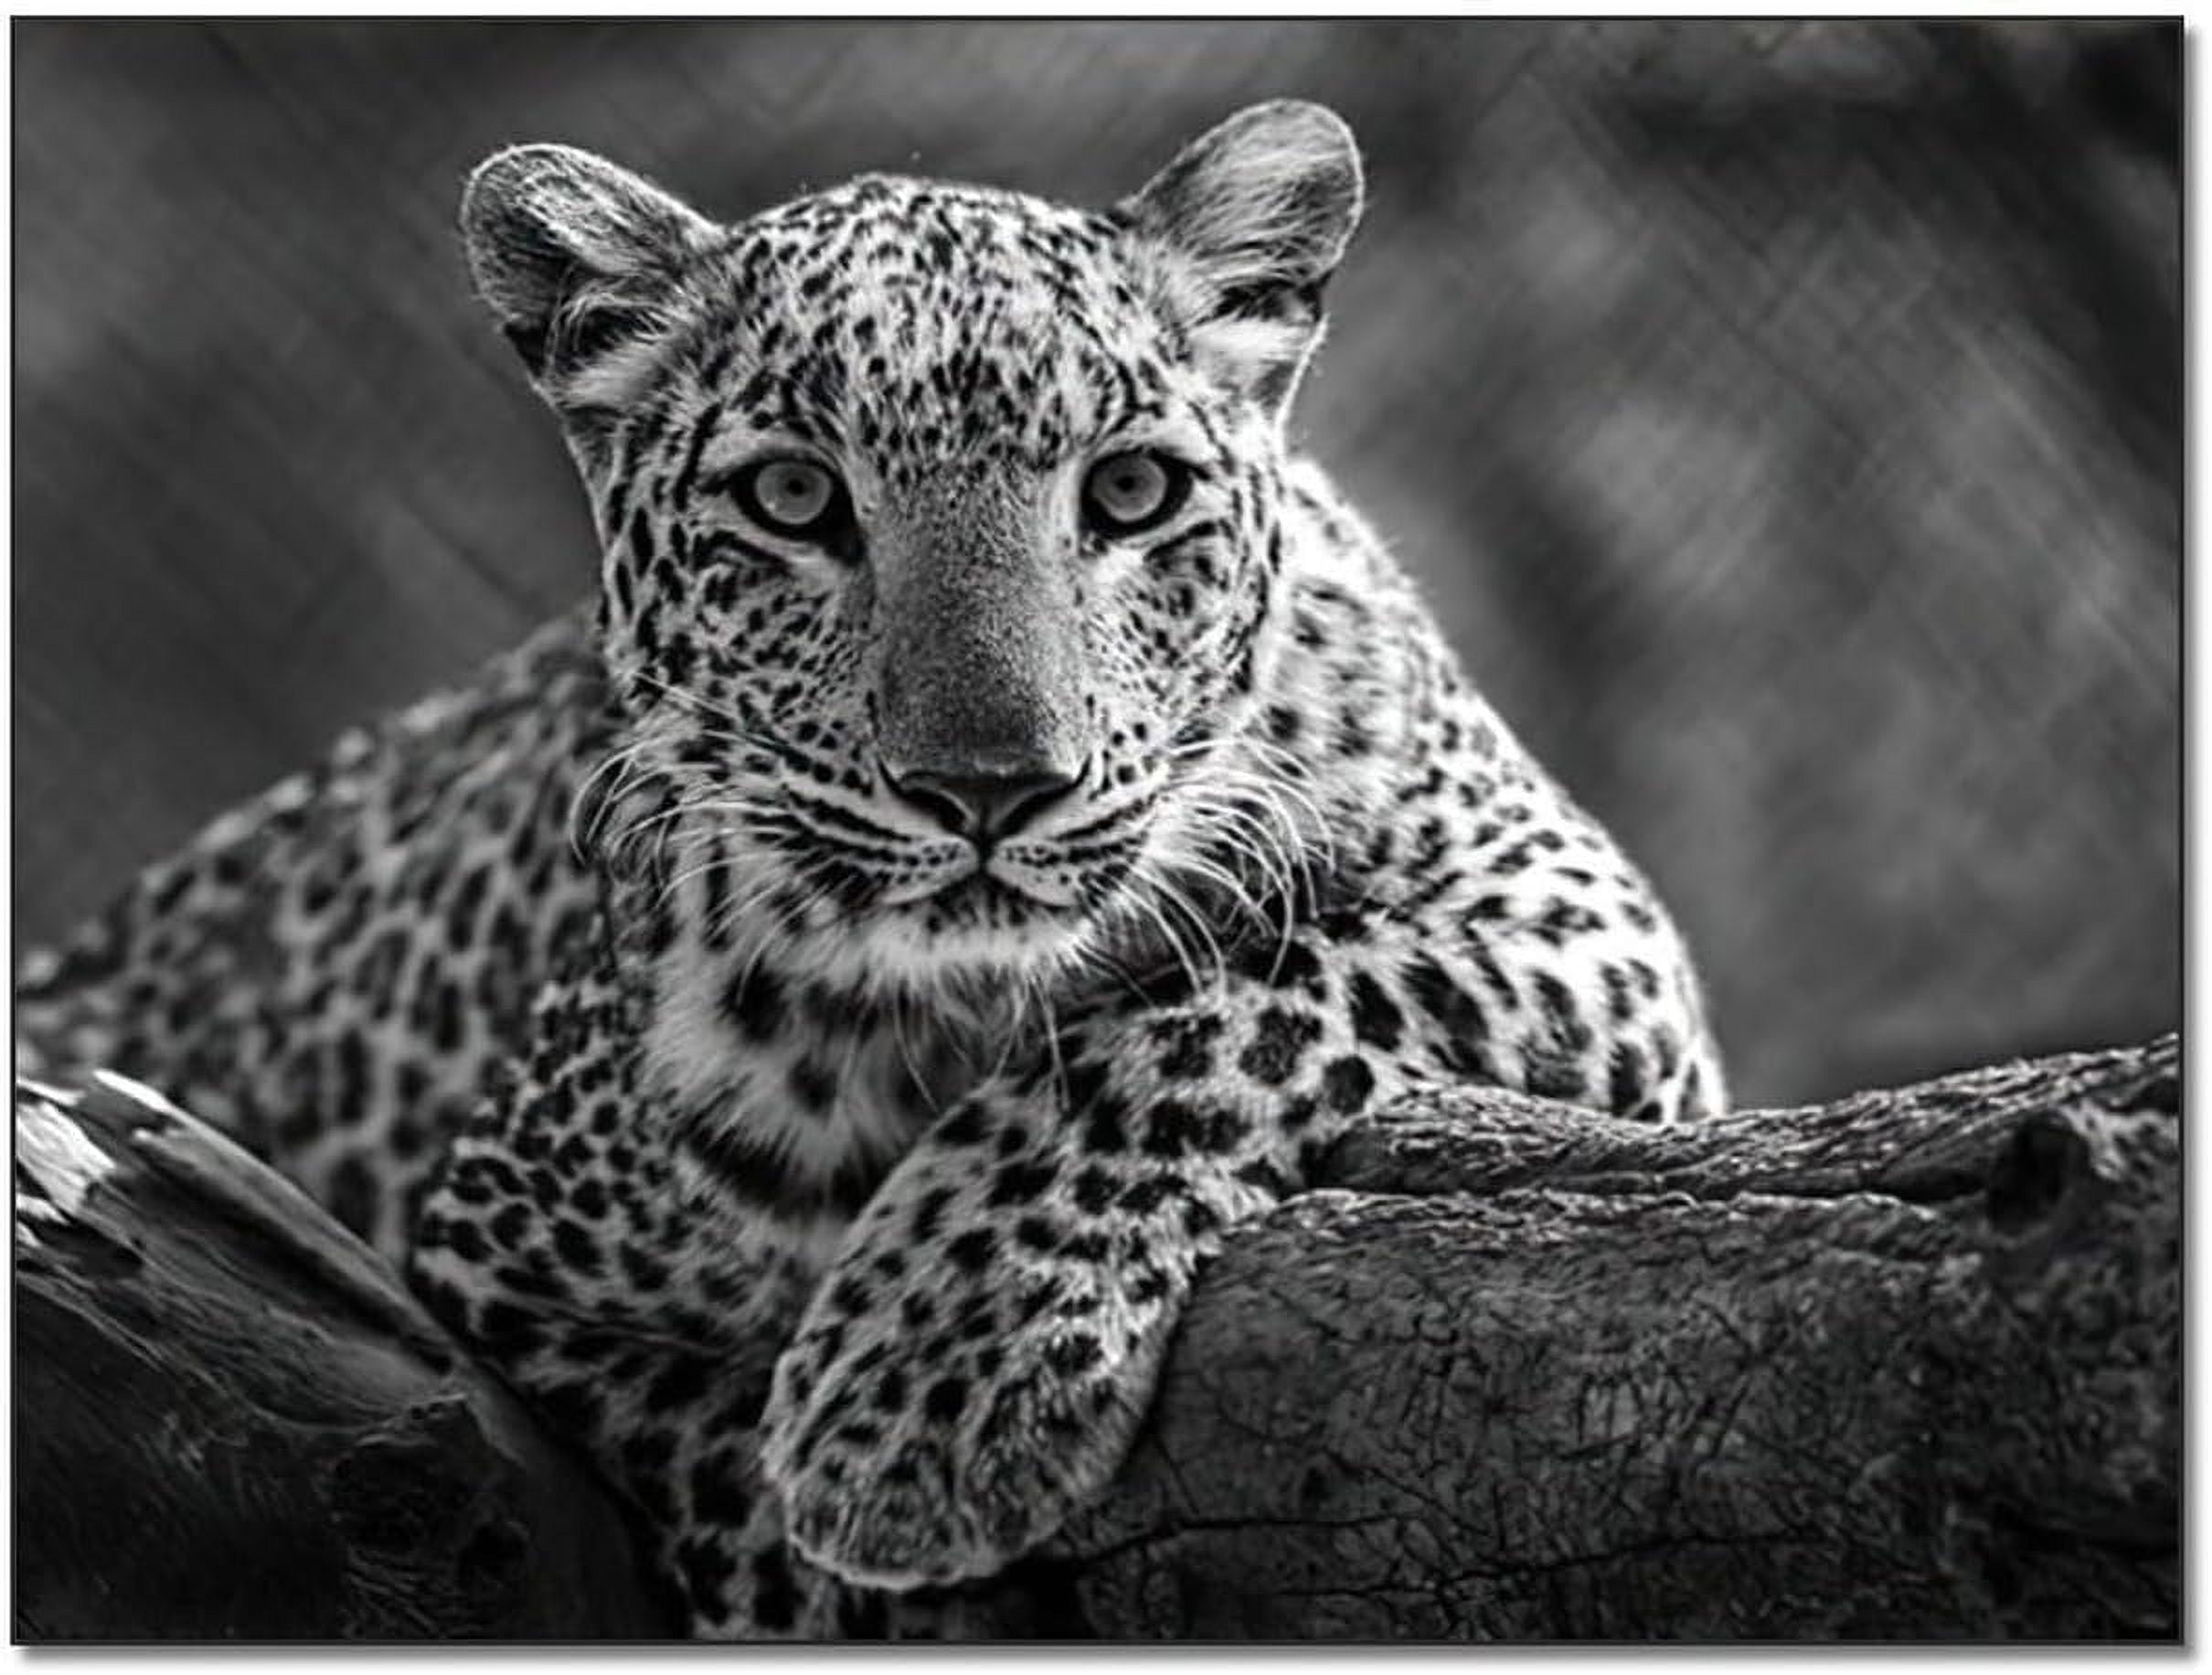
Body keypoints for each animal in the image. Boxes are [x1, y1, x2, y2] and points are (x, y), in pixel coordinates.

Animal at [17, 103, 1724, 1638]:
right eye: (791, 498)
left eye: (1130, 492)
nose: (992, 788)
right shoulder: (491, 1277)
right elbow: (719, 1470)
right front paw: (868, 1499)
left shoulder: (1582, 920)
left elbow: (1242, 1003)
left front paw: (935, 1378)